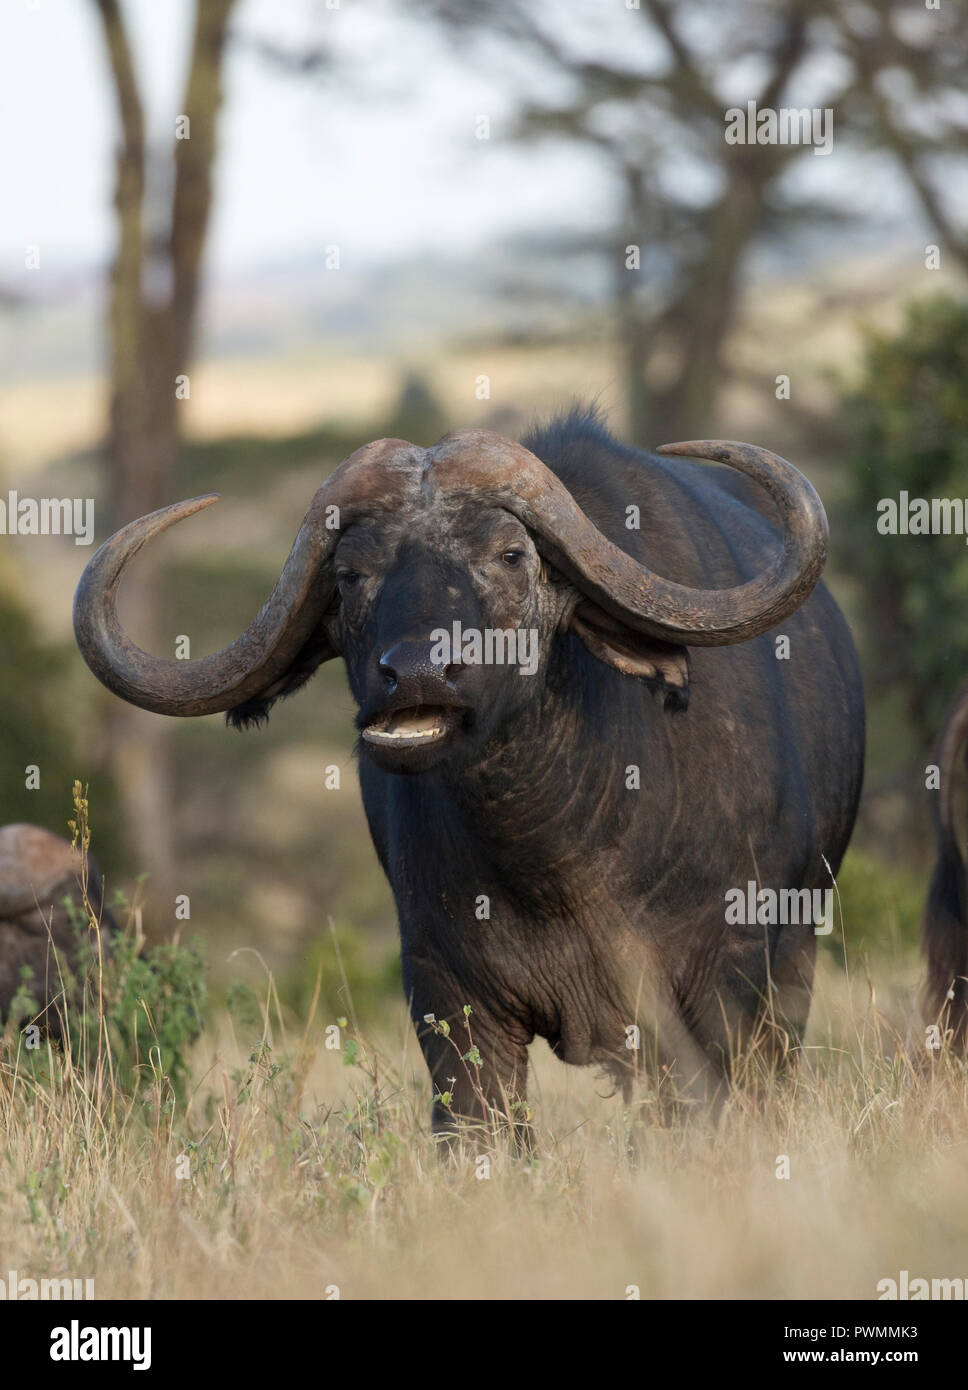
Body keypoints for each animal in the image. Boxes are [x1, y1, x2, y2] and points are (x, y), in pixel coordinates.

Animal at [73, 408, 865, 1132]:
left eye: (510, 555)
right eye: (351, 574)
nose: (418, 670)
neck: (560, 852)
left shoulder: (722, 988)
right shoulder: (447, 997)